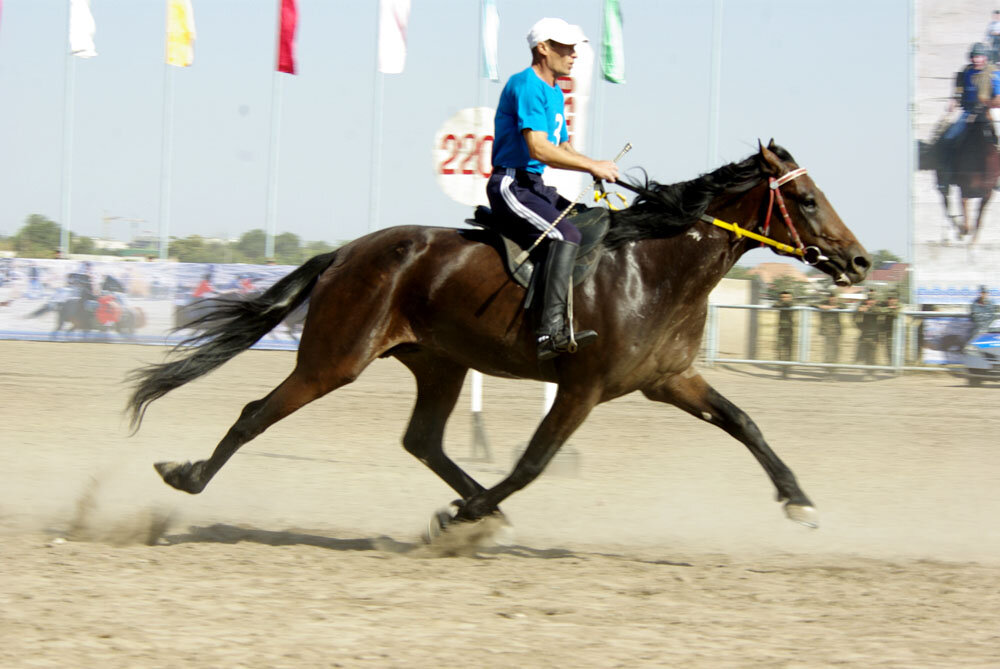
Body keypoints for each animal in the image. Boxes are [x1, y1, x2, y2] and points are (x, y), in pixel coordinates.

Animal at [129, 144, 872, 536]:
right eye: (806, 200)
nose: (861, 261)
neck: (652, 266)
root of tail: (346, 252)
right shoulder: (582, 387)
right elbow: (534, 462)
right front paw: (463, 515)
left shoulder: (669, 380)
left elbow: (746, 422)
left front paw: (798, 499)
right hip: (334, 358)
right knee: (256, 413)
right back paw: (187, 475)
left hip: (439, 363)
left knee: (421, 440)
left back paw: (474, 502)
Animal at [920, 111, 1000, 244]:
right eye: (989, 120)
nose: (998, 140)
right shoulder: (965, 189)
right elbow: (965, 216)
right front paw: (963, 231)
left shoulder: (987, 193)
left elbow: (978, 221)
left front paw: (973, 241)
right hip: (943, 182)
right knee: (946, 202)